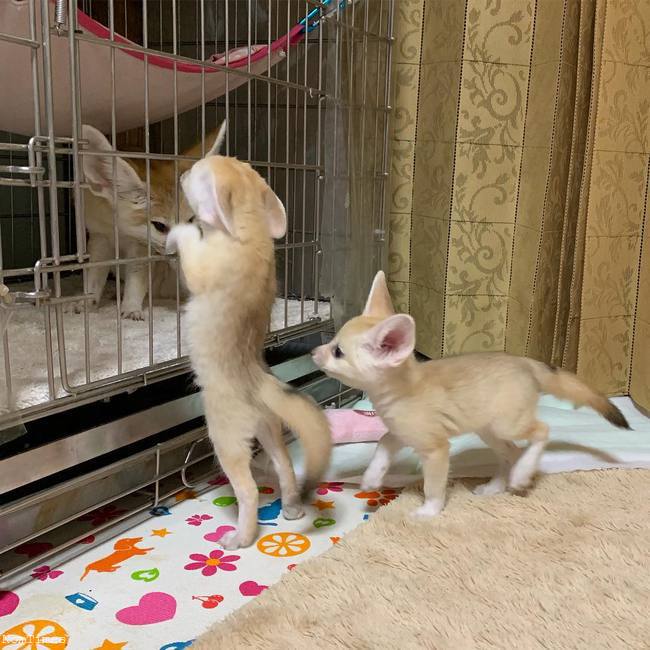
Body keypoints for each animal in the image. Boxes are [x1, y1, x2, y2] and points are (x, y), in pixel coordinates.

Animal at [78, 123, 224, 319]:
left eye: (191, 219)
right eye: (160, 226)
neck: (121, 232)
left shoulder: (140, 247)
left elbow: (136, 281)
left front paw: (131, 308)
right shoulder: (100, 236)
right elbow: (93, 277)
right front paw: (86, 304)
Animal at [166, 149, 332, 549]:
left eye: (194, 174)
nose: (182, 173)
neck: (251, 227)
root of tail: (258, 382)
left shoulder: (201, 267)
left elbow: (189, 246)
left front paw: (178, 231)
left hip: (226, 440)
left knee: (249, 491)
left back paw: (241, 536)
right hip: (269, 429)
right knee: (286, 468)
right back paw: (292, 507)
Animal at [312, 270, 630, 517]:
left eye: (338, 352)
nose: (313, 351)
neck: (402, 391)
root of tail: (525, 361)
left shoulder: (435, 448)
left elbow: (433, 485)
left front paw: (429, 511)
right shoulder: (400, 433)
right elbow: (381, 445)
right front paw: (372, 477)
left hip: (507, 424)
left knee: (542, 431)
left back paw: (522, 473)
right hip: (489, 430)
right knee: (511, 451)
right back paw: (497, 485)